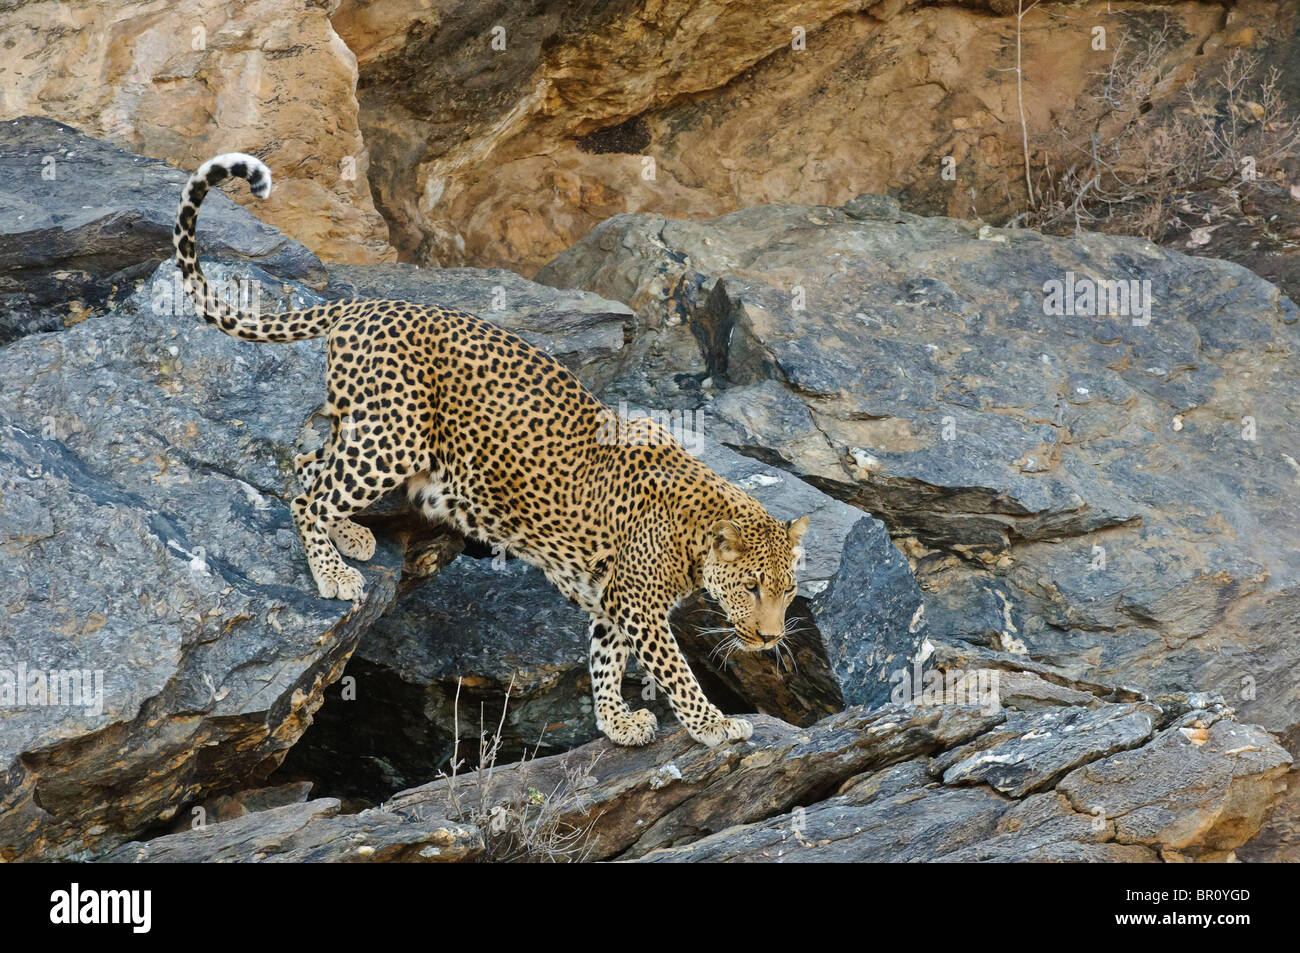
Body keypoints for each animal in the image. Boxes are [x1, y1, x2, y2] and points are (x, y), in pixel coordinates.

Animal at [172, 152, 810, 748]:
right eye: (752, 588)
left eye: (788, 592)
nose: (771, 637)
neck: (694, 535)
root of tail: (366, 304)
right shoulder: (639, 603)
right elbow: (674, 670)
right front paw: (715, 724)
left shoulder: (611, 598)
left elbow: (606, 659)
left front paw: (616, 721)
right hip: (393, 438)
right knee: (309, 492)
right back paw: (334, 574)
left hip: (364, 427)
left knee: (309, 465)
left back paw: (350, 535)